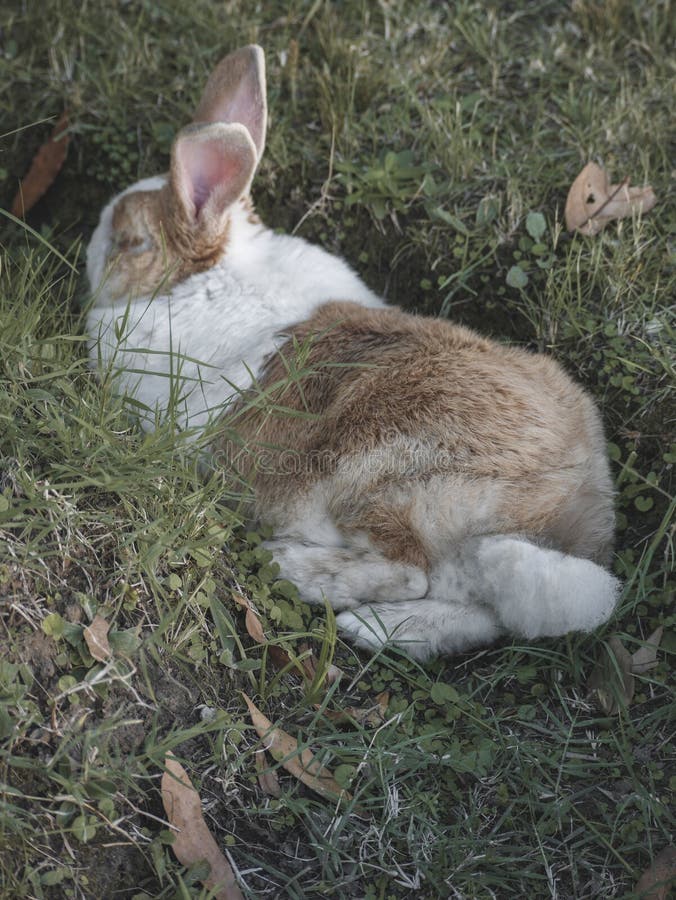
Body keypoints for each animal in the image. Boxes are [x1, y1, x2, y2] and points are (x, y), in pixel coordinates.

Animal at [86, 45, 620, 661]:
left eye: (131, 242)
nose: (90, 253)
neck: (205, 275)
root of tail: (558, 517)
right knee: (475, 615)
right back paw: (373, 627)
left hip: (382, 472)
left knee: (409, 570)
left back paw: (292, 568)